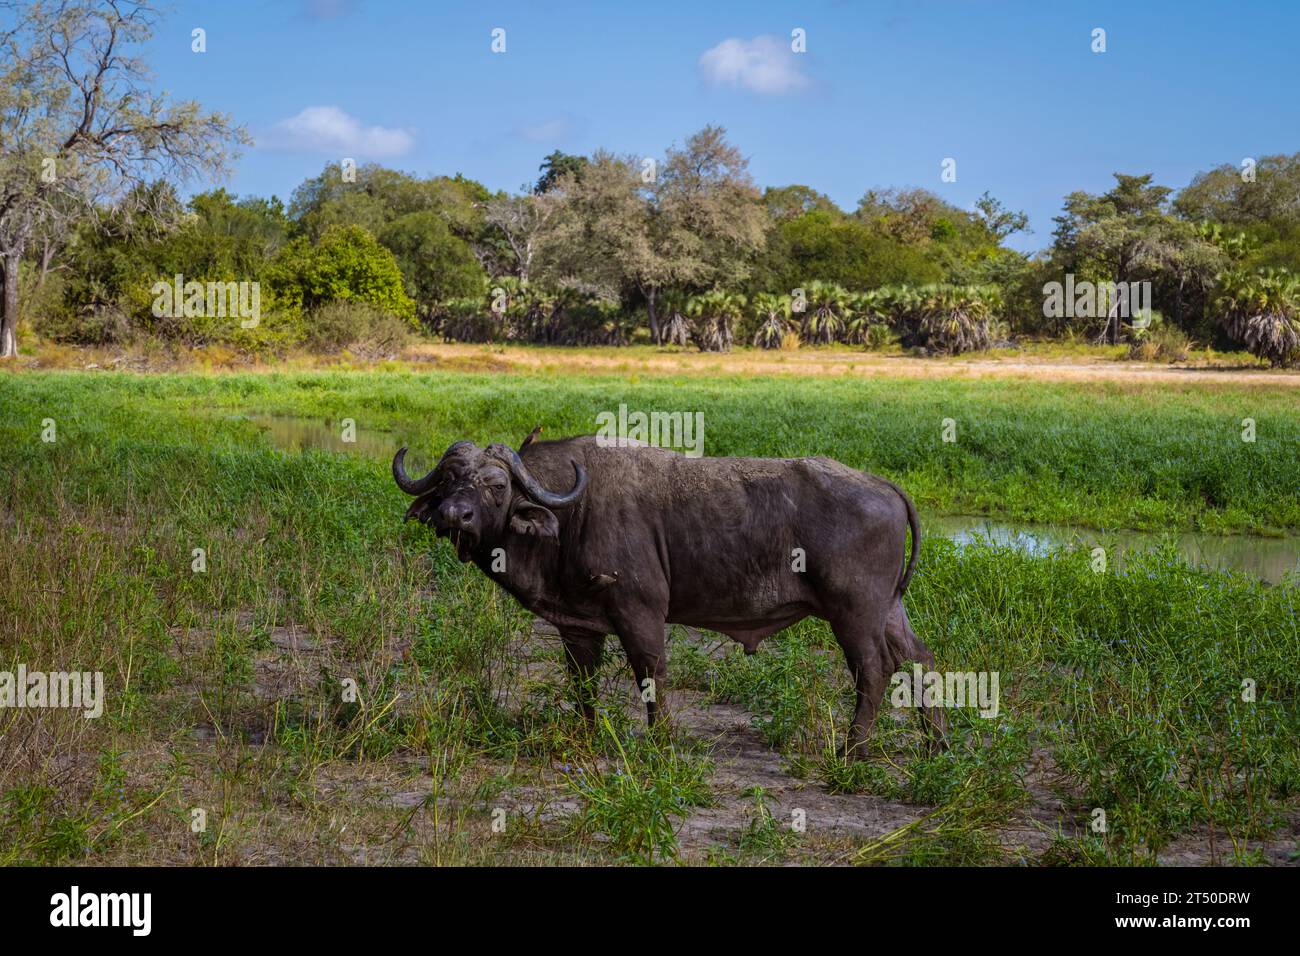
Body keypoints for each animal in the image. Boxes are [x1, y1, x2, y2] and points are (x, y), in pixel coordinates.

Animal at [394, 432, 944, 754]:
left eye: (496, 485)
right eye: (449, 479)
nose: (453, 515)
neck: (570, 516)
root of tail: (883, 485)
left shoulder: (640, 614)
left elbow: (651, 677)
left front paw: (661, 743)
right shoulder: (577, 627)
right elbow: (582, 685)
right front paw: (586, 736)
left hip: (855, 613)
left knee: (874, 671)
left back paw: (852, 752)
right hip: (890, 610)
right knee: (921, 660)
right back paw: (935, 745)